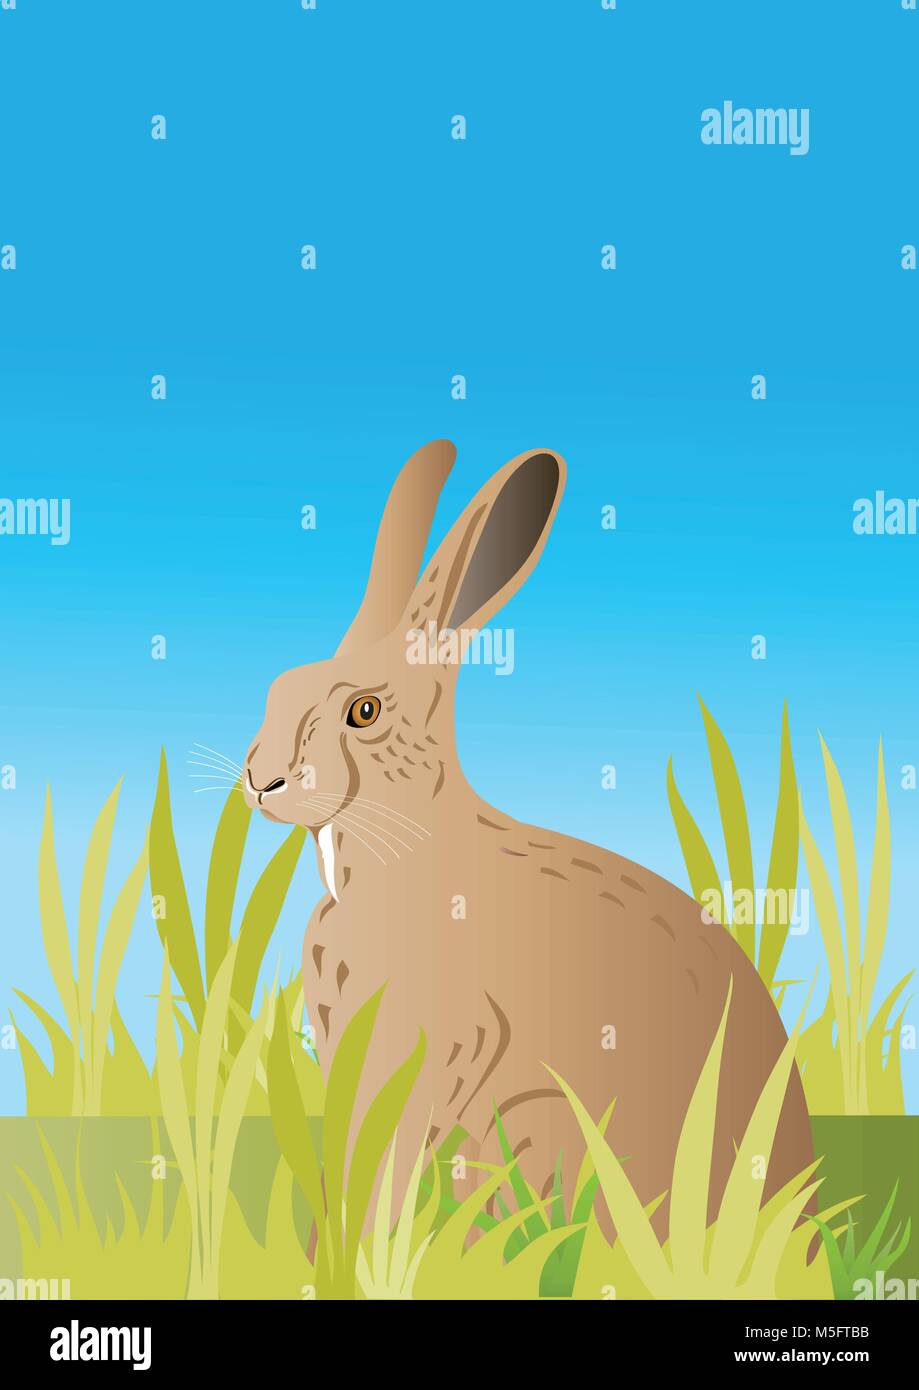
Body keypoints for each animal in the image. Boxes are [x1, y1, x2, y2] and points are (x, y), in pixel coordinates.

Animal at [243, 439, 813, 1241]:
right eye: (277, 688)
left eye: (364, 712)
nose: (260, 782)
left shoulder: (434, 1044)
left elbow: (388, 1164)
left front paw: (371, 1249)